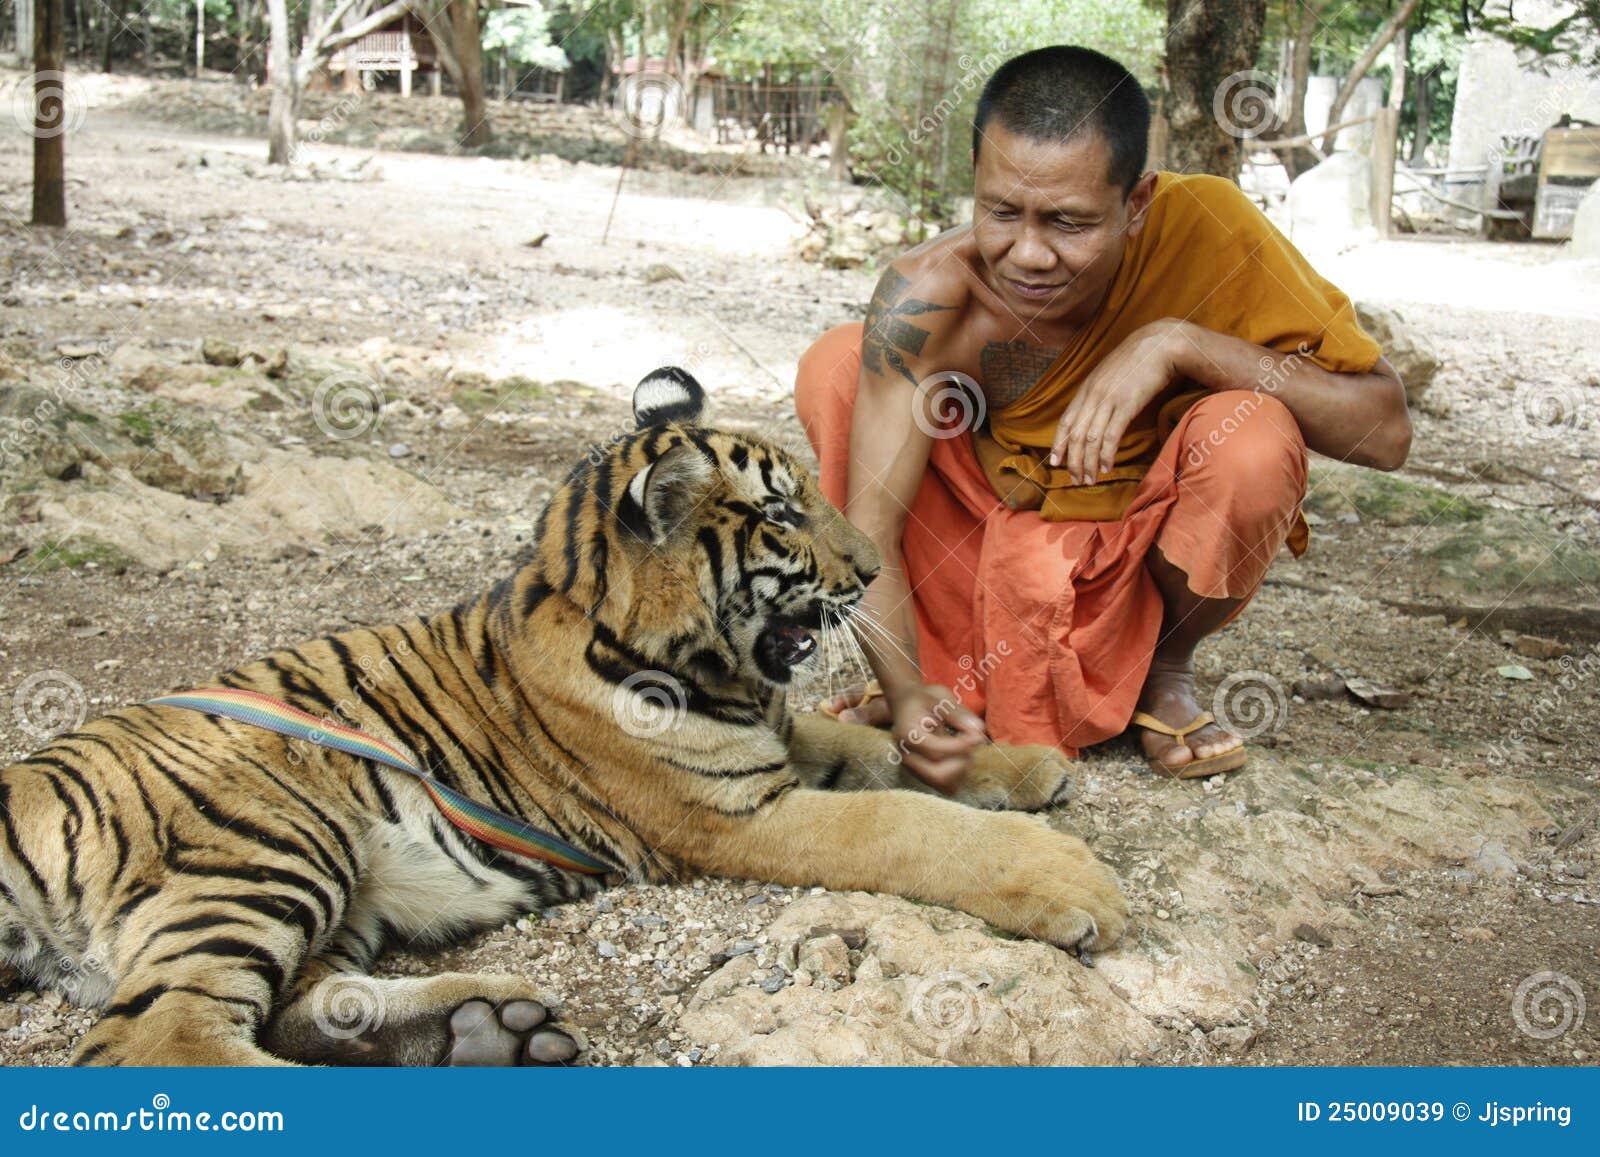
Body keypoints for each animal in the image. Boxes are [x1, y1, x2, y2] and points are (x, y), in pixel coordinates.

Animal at [0, 367, 1127, 1067]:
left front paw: (1019, 764)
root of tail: (27, 779)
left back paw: (486, 1026)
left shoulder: (780, 740)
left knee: (285, 1003)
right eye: (780, 513)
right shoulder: (740, 814)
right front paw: (1069, 878)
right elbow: (904, 821)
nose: (872, 569)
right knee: (159, 1038)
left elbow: (878, 745)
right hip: (269, 840)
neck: (704, 664)